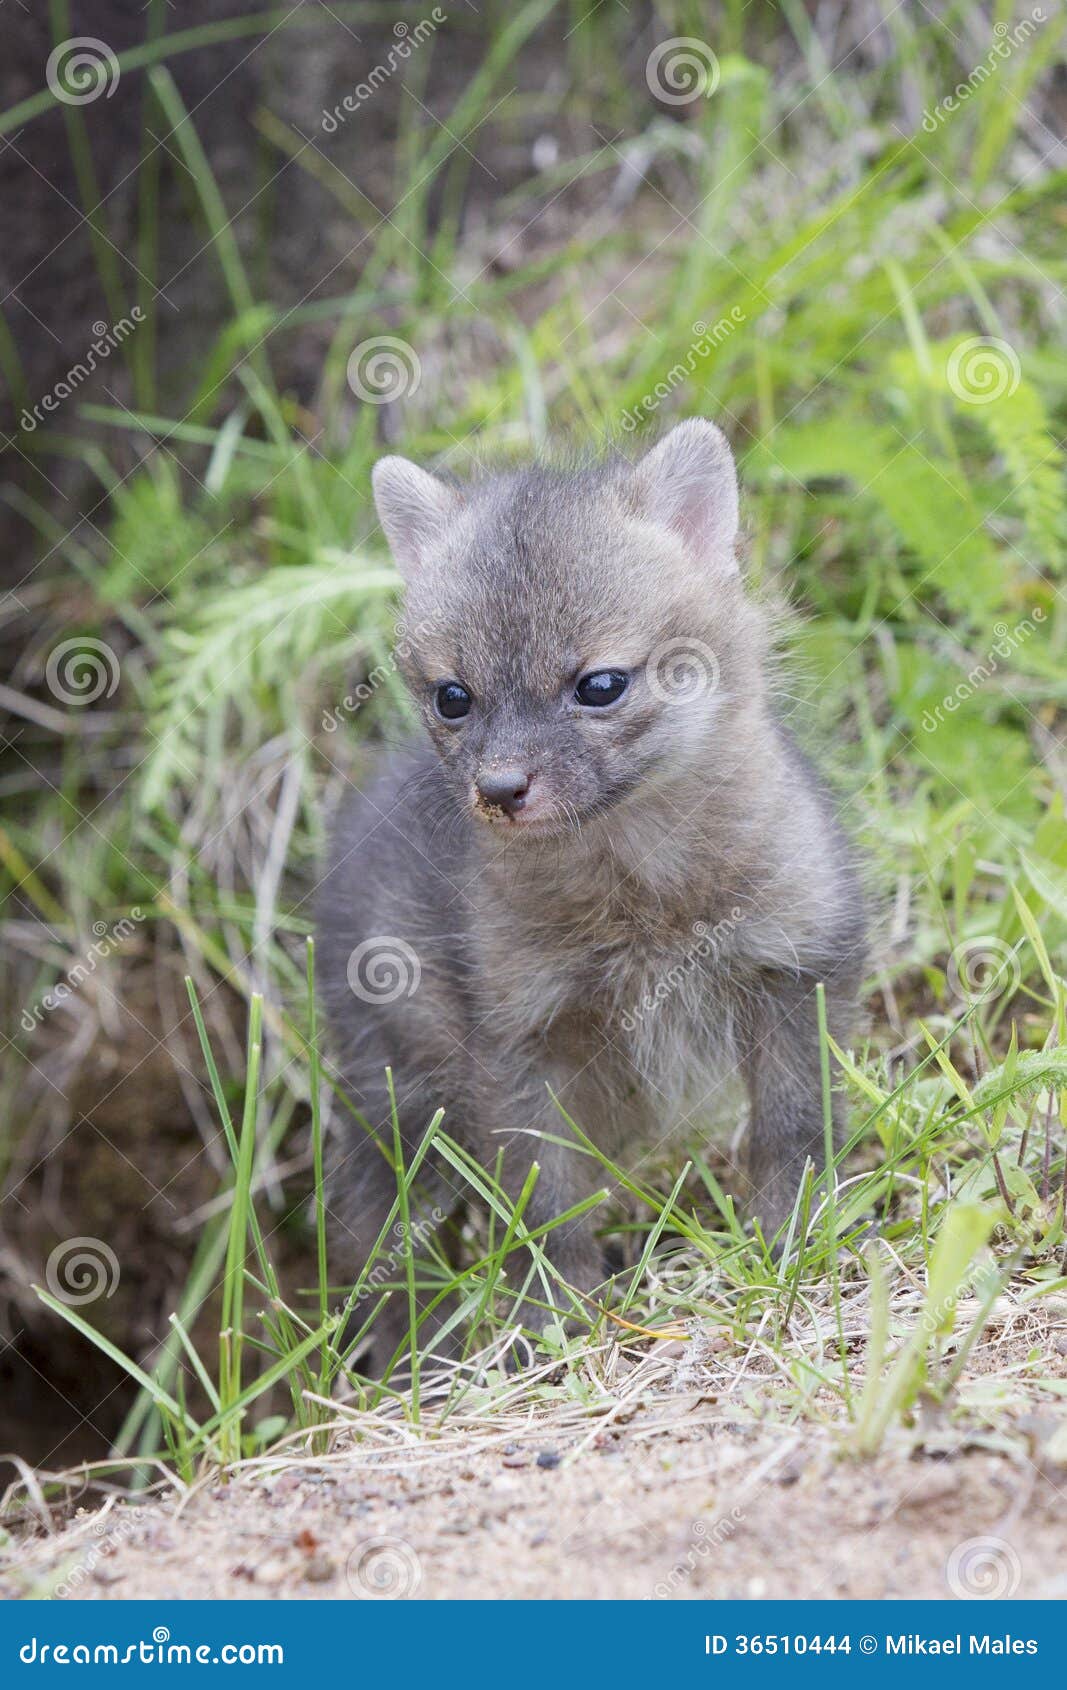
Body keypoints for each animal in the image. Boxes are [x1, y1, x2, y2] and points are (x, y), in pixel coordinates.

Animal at [316, 420, 867, 1367]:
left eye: (599, 685)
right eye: (453, 697)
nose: (499, 790)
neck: (639, 900)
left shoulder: (794, 968)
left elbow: (791, 1133)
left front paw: (793, 1237)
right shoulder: (516, 1043)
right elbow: (544, 1204)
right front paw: (557, 1319)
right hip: (401, 1110)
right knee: (374, 1241)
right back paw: (405, 1352)